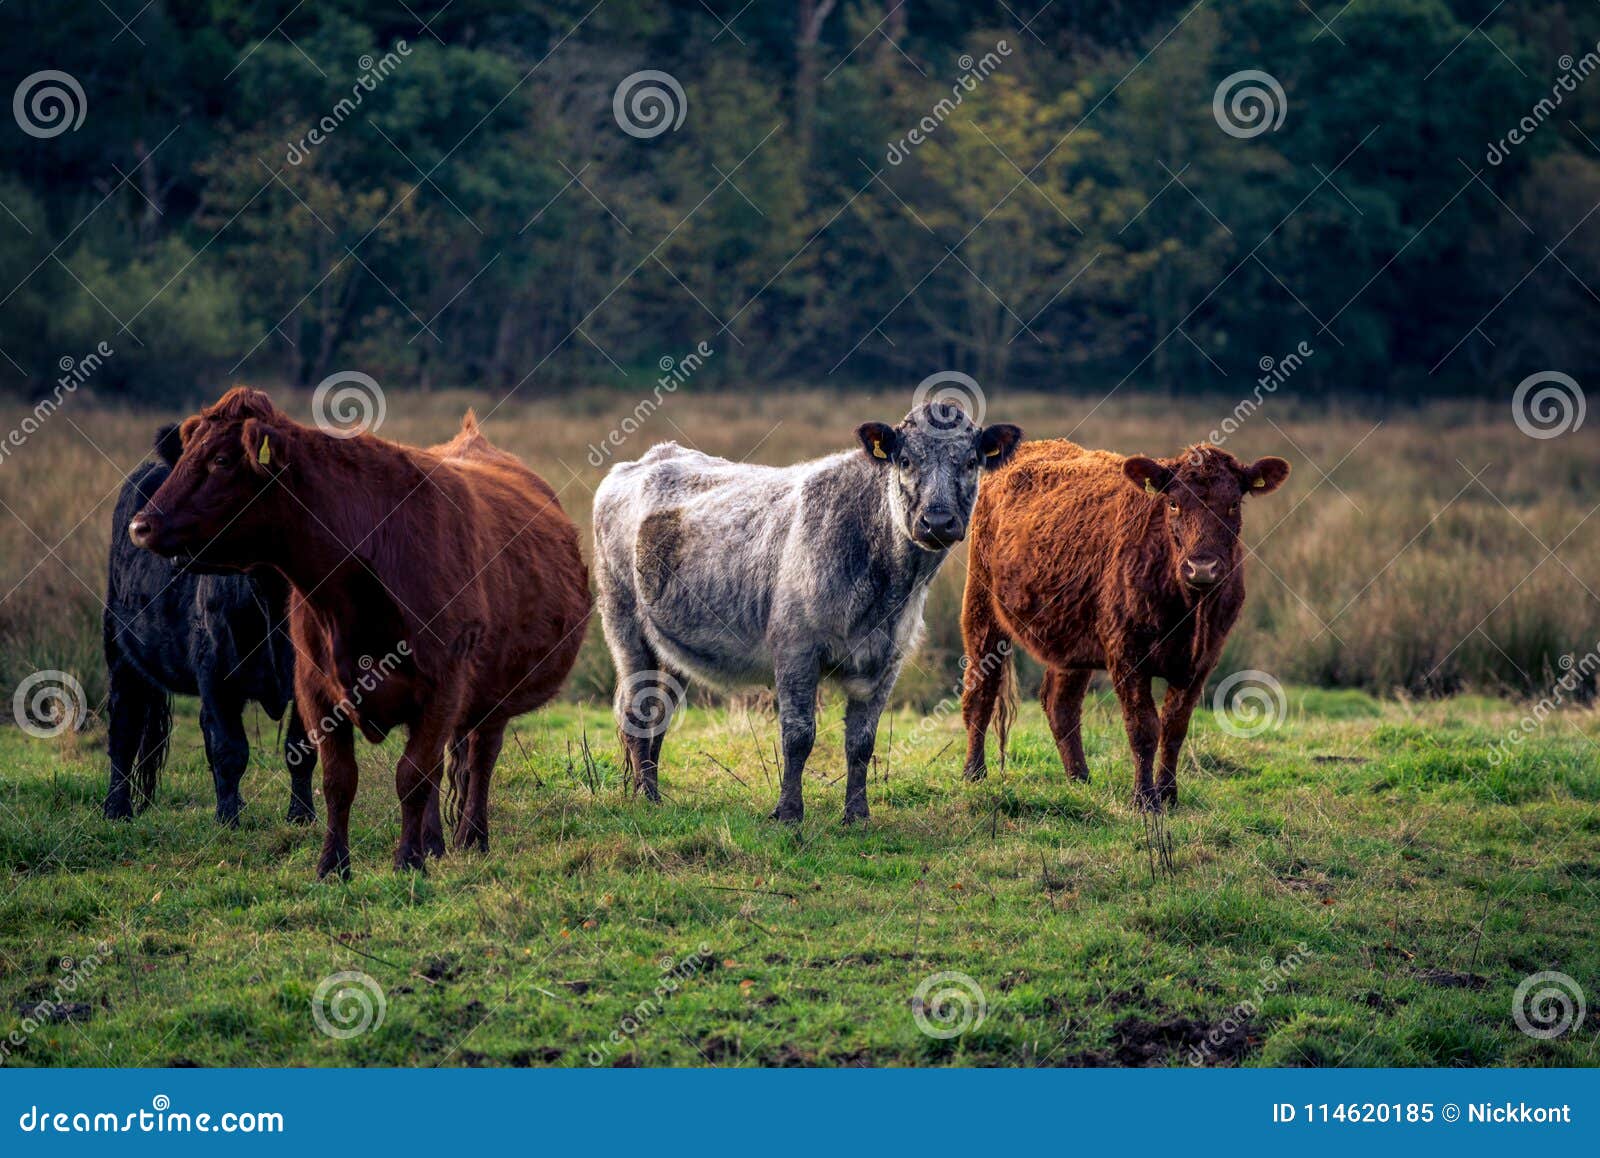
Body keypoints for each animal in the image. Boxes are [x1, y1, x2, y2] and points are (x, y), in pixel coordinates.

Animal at [104, 424, 314, 824]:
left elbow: (302, 746)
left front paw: (302, 815)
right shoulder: (215, 670)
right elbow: (230, 749)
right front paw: (227, 819)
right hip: (119, 649)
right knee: (124, 725)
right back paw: (116, 809)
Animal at [127, 387, 591, 877]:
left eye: (220, 459)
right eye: (186, 454)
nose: (141, 525)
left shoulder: (444, 685)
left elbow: (413, 776)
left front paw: (408, 861)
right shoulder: (315, 690)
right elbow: (339, 780)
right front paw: (334, 865)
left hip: (495, 695)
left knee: (480, 759)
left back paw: (472, 837)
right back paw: (434, 842)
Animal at [592, 400, 1022, 824]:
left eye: (971, 461)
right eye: (904, 460)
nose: (937, 521)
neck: (886, 590)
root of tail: (648, 458)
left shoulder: (888, 661)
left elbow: (862, 742)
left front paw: (857, 814)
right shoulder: (796, 648)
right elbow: (798, 736)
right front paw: (788, 812)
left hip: (672, 647)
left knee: (658, 712)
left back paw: (649, 791)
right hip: (624, 623)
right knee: (636, 710)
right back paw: (646, 798)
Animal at [960, 440, 1289, 811]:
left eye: (1233, 504)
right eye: (1173, 503)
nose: (1202, 567)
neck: (1190, 611)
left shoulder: (1203, 659)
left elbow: (1175, 727)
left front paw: (1168, 795)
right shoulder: (1127, 652)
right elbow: (1143, 727)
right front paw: (1144, 799)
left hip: (1071, 638)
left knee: (1060, 704)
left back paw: (1080, 778)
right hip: (980, 610)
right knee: (981, 691)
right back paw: (974, 772)